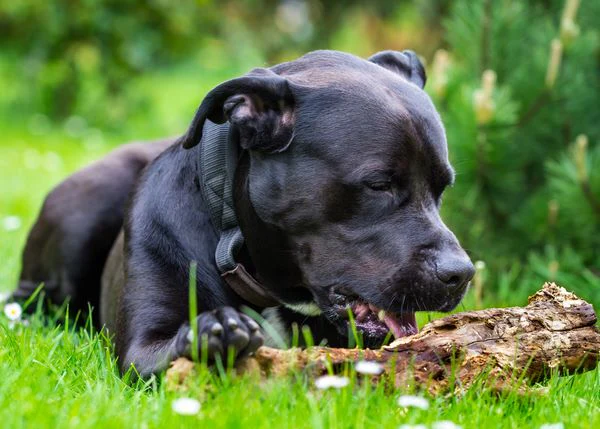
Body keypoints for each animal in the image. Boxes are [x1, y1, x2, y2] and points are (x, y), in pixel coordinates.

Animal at [12, 51, 474, 378]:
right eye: (378, 184)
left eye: (442, 187)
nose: (461, 274)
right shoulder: (141, 349)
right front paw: (212, 330)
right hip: (82, 210)